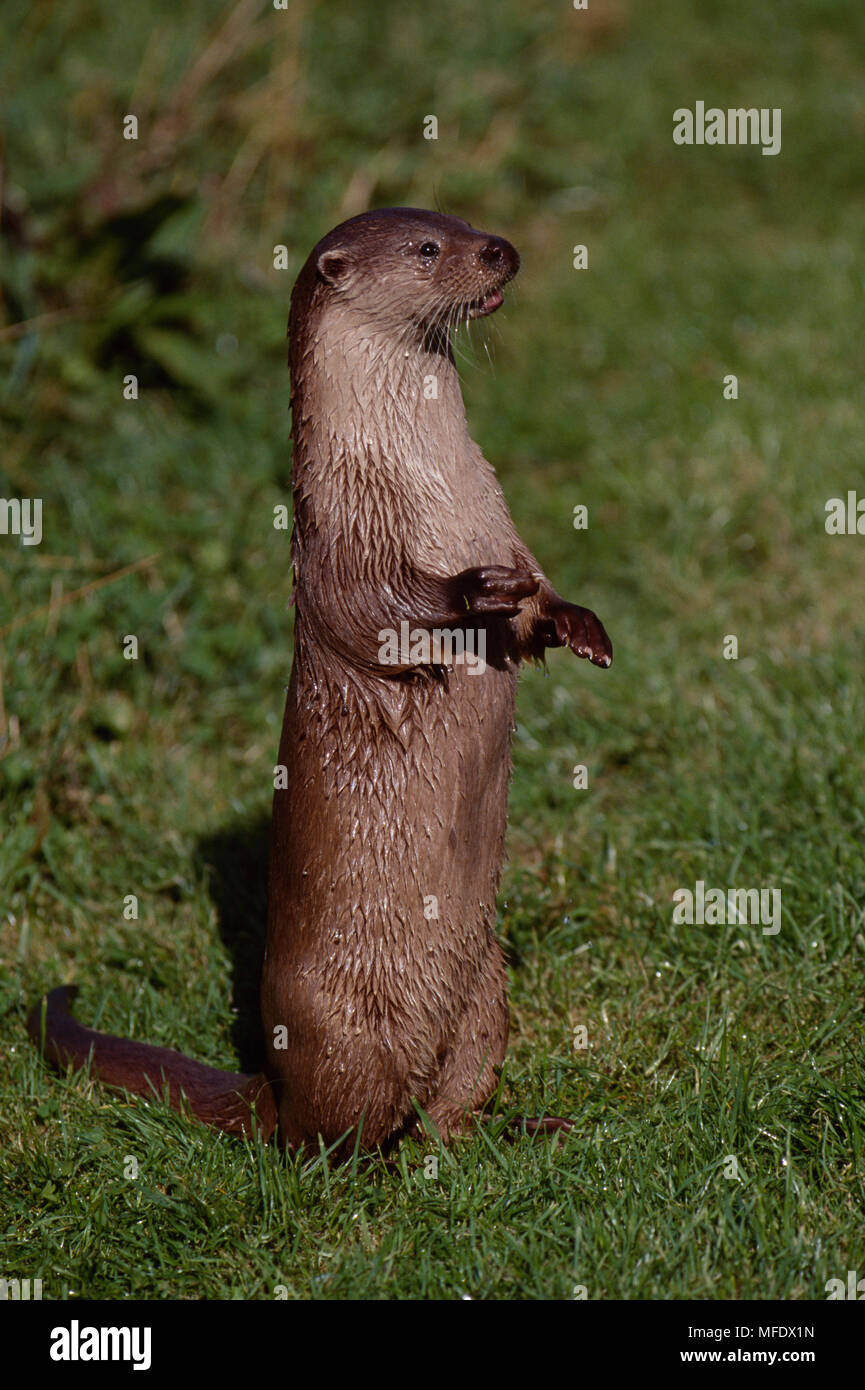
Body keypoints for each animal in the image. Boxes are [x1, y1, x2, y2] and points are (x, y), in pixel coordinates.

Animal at [28, 208, 612, 1156]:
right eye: (427, 249)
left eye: (460, 221)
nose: (501, 250)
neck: (437, 498)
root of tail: (273, 1085)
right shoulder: (340, 544)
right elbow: (379, 611)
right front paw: (472, 594)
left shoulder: (501, 520)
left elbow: (536, 601)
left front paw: (574, 624)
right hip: (351, 1028)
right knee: (334, 1137)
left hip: (486, 994)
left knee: (448, 1108)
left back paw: (513, 1132)